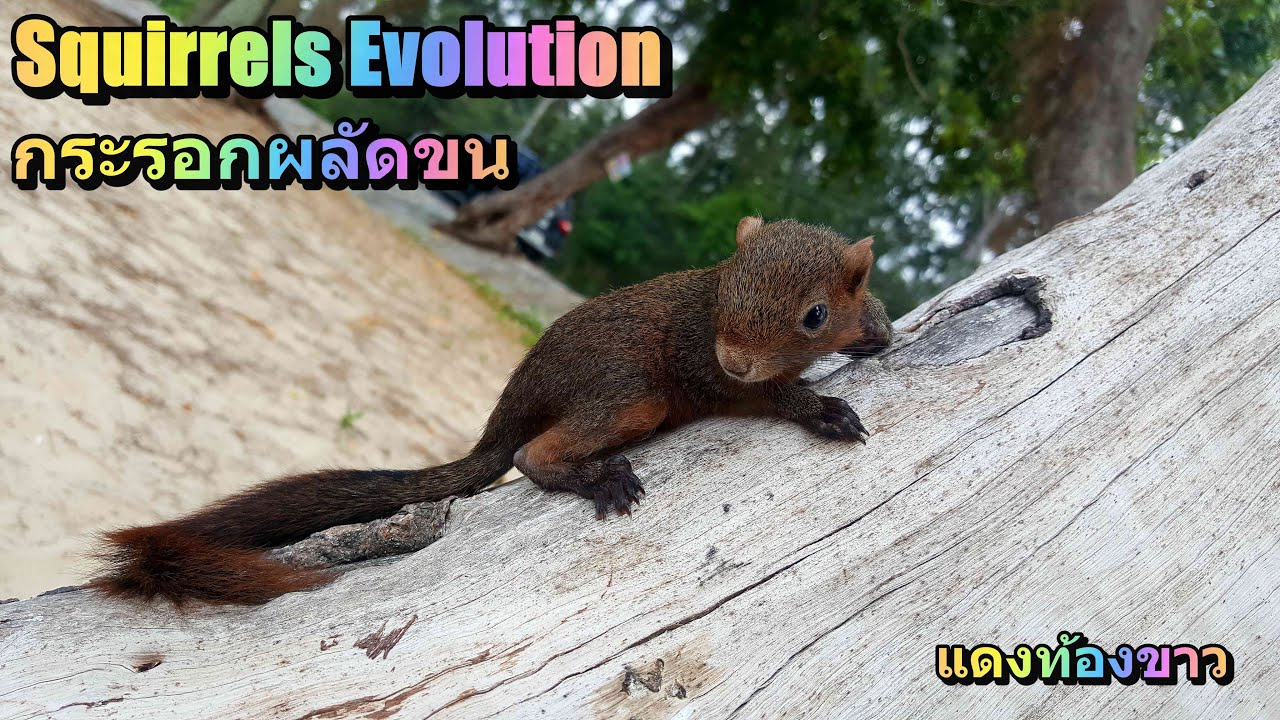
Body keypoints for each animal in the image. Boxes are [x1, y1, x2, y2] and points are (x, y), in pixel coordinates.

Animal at [91, 217, 895, 605]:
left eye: (815, 314)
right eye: (725, 288)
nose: (735, 357)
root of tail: (516, 397)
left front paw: (878, 328)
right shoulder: (704, 363)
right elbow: (766, 394)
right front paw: (818, 407)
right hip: (630, 395)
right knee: (528, 456)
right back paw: (592, 475)